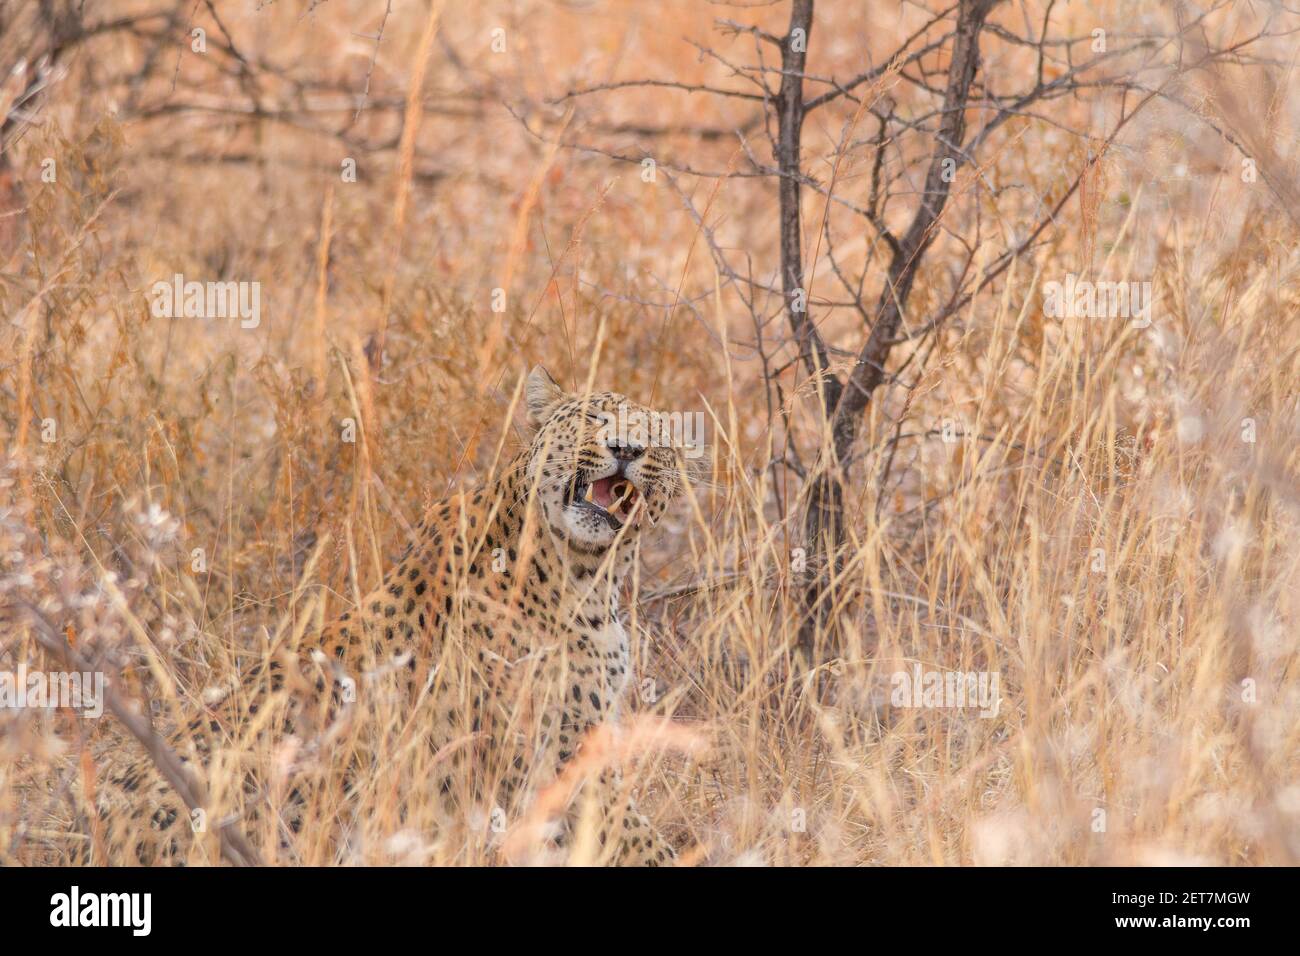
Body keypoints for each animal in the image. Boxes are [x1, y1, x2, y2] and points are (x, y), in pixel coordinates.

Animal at [66, 366, 686, 866]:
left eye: (656, 440)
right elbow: (641, 839)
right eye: (592, 418)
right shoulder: (553, 758)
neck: (590, 574)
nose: (627, 448)